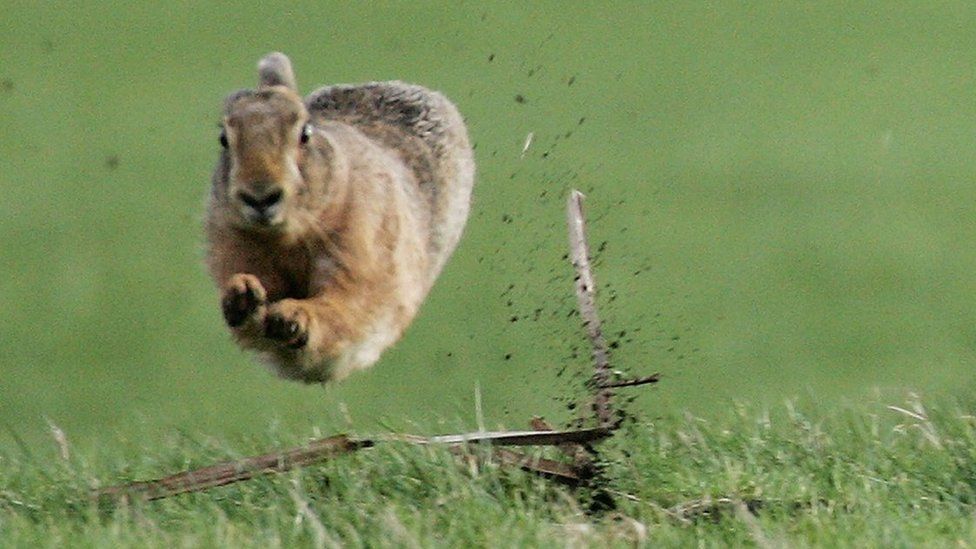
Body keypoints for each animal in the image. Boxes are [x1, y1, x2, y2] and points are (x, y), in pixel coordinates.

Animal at [205, 52, 475, 383]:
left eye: (305, 134)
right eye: (223, 139)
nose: (260, 196)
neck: (290, 234)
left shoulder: (358, 262)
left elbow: (338, 311)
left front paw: (292, 317)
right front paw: (242, 294)